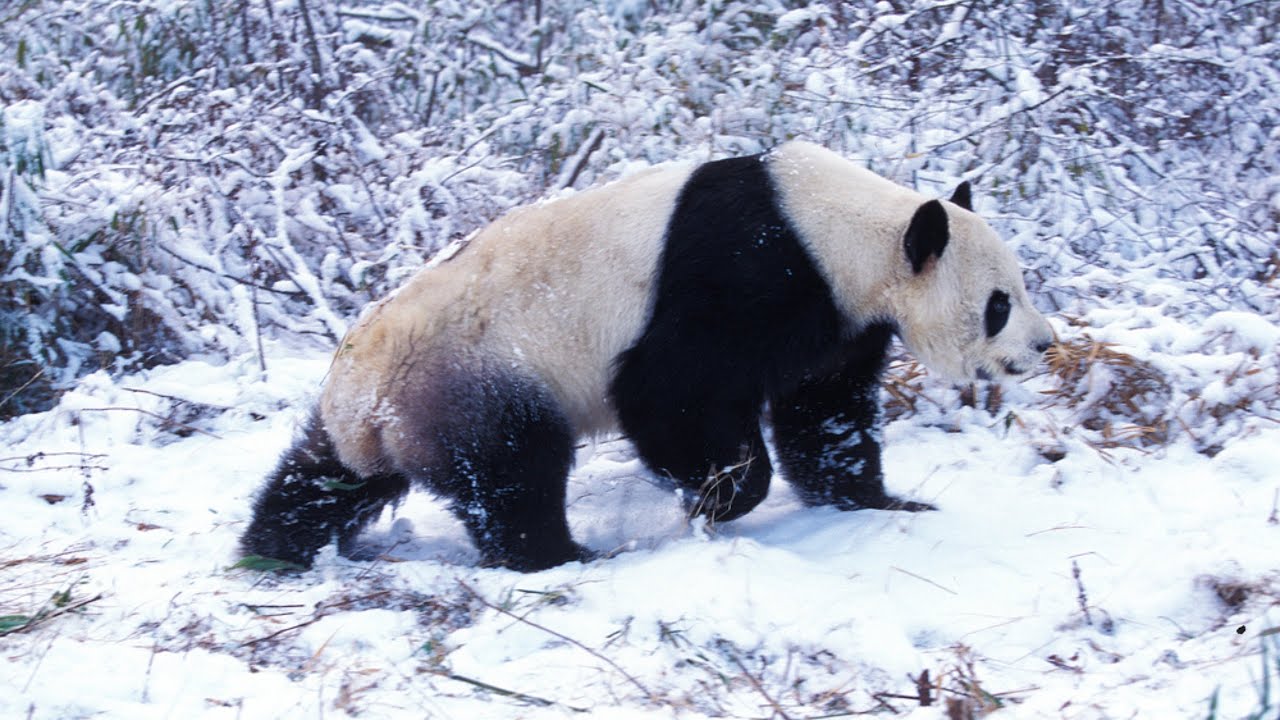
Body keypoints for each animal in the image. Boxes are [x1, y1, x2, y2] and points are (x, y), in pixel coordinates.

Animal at [241, 141, 1054, 572]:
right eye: (1000, 303)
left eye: (1019, 287)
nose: (1044, 346)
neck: (841, 229)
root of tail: (365, 411)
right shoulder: (747, 273)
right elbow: (666, 392)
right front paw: (714, 499)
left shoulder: (838, 319)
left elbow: (826, 414)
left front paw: (884, 501)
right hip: (476, 375)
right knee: (512, 471)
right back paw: (560, 555)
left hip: (388, 411)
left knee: (323, 480)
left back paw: (270, 549)